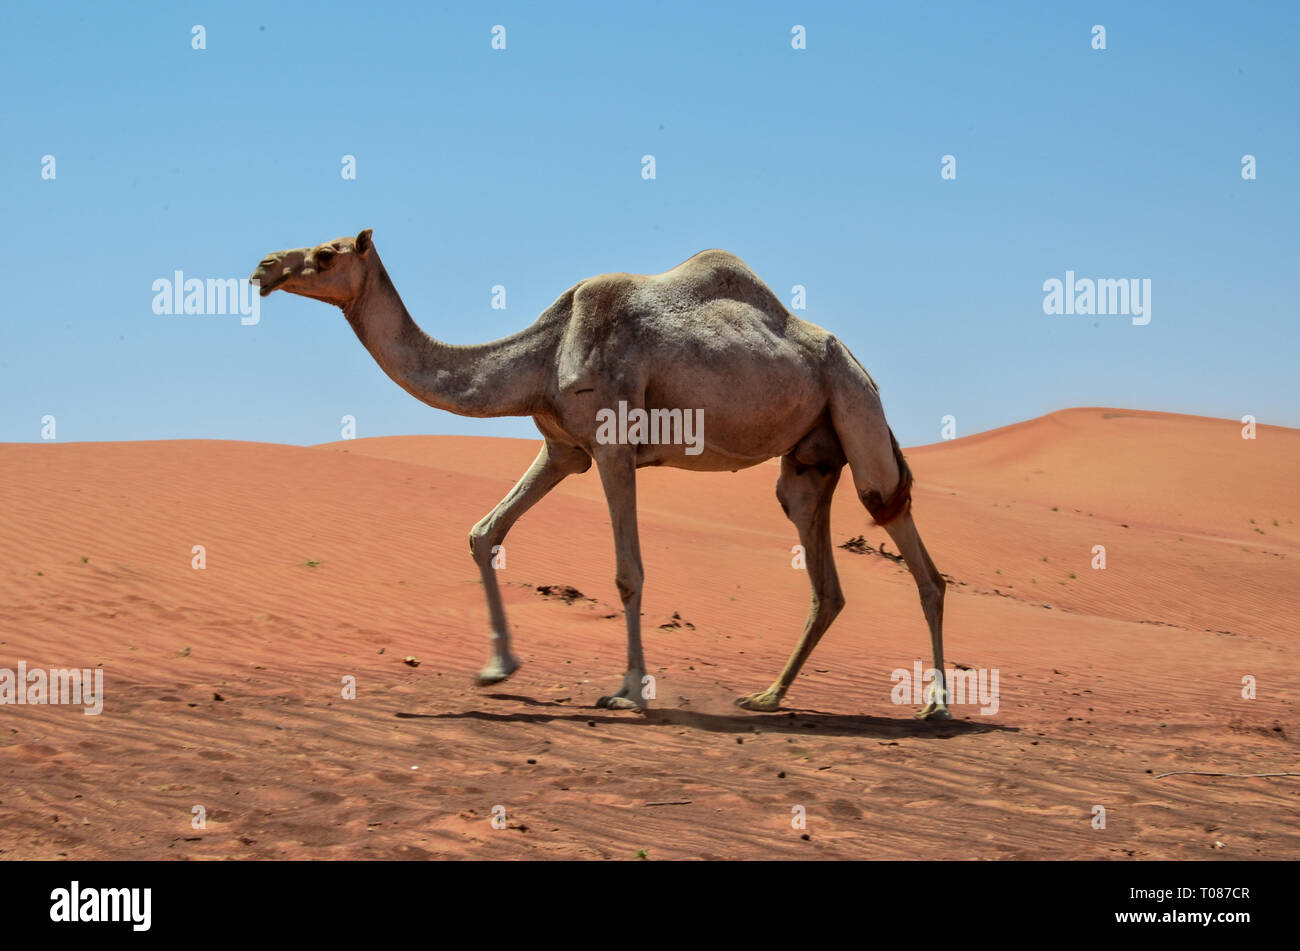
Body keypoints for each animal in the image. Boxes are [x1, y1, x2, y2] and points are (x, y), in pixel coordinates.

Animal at [250, 229, 950, 719]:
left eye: (325, 254)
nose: (263, 268)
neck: (541, 352)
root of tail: (858, 362)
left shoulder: (613, 447)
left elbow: (627, 572)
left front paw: (628, 693)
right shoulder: (565, 448)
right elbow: (484, 532)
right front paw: (497, 668)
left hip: (856, 410)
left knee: (906, 537)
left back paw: (936, 705)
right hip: (809, 458)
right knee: (823, 573)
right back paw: (767, 697)